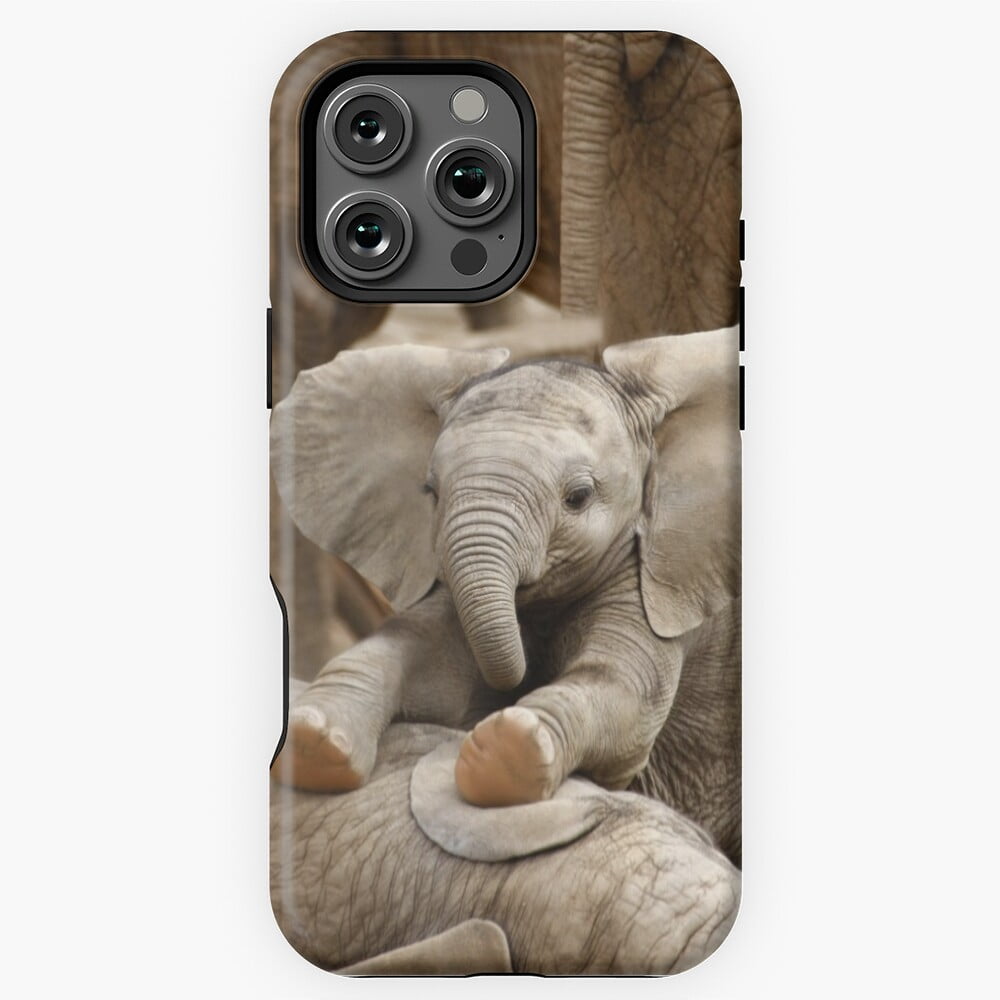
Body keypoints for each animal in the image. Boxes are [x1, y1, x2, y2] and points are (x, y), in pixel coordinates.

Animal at [269, 326, 741, 867]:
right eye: (430, 491)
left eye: (578, 498)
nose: (516, 680)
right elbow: (421, 654)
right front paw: (312, 740)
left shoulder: (667, 577)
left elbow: (624, 692)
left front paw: (506, 748)